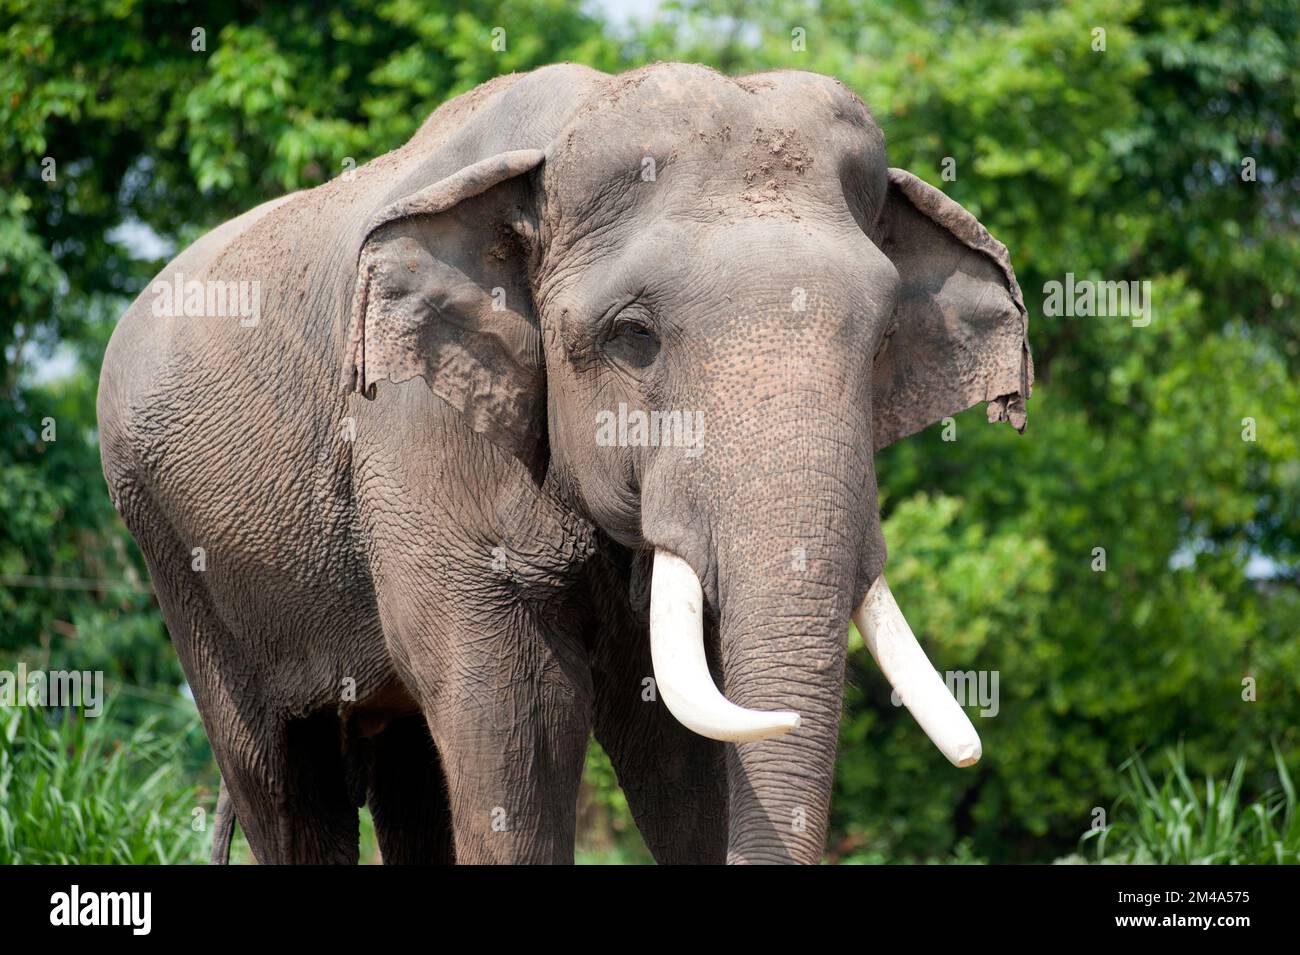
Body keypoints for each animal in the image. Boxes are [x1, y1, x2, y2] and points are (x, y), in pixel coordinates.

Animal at [97, 62, 1031, 865]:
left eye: (881, 341)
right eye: (635, 336)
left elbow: (683, 732)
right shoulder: (417, 427)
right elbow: (517, 713)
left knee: (406, 771)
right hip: (175, 553)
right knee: (284, 778)